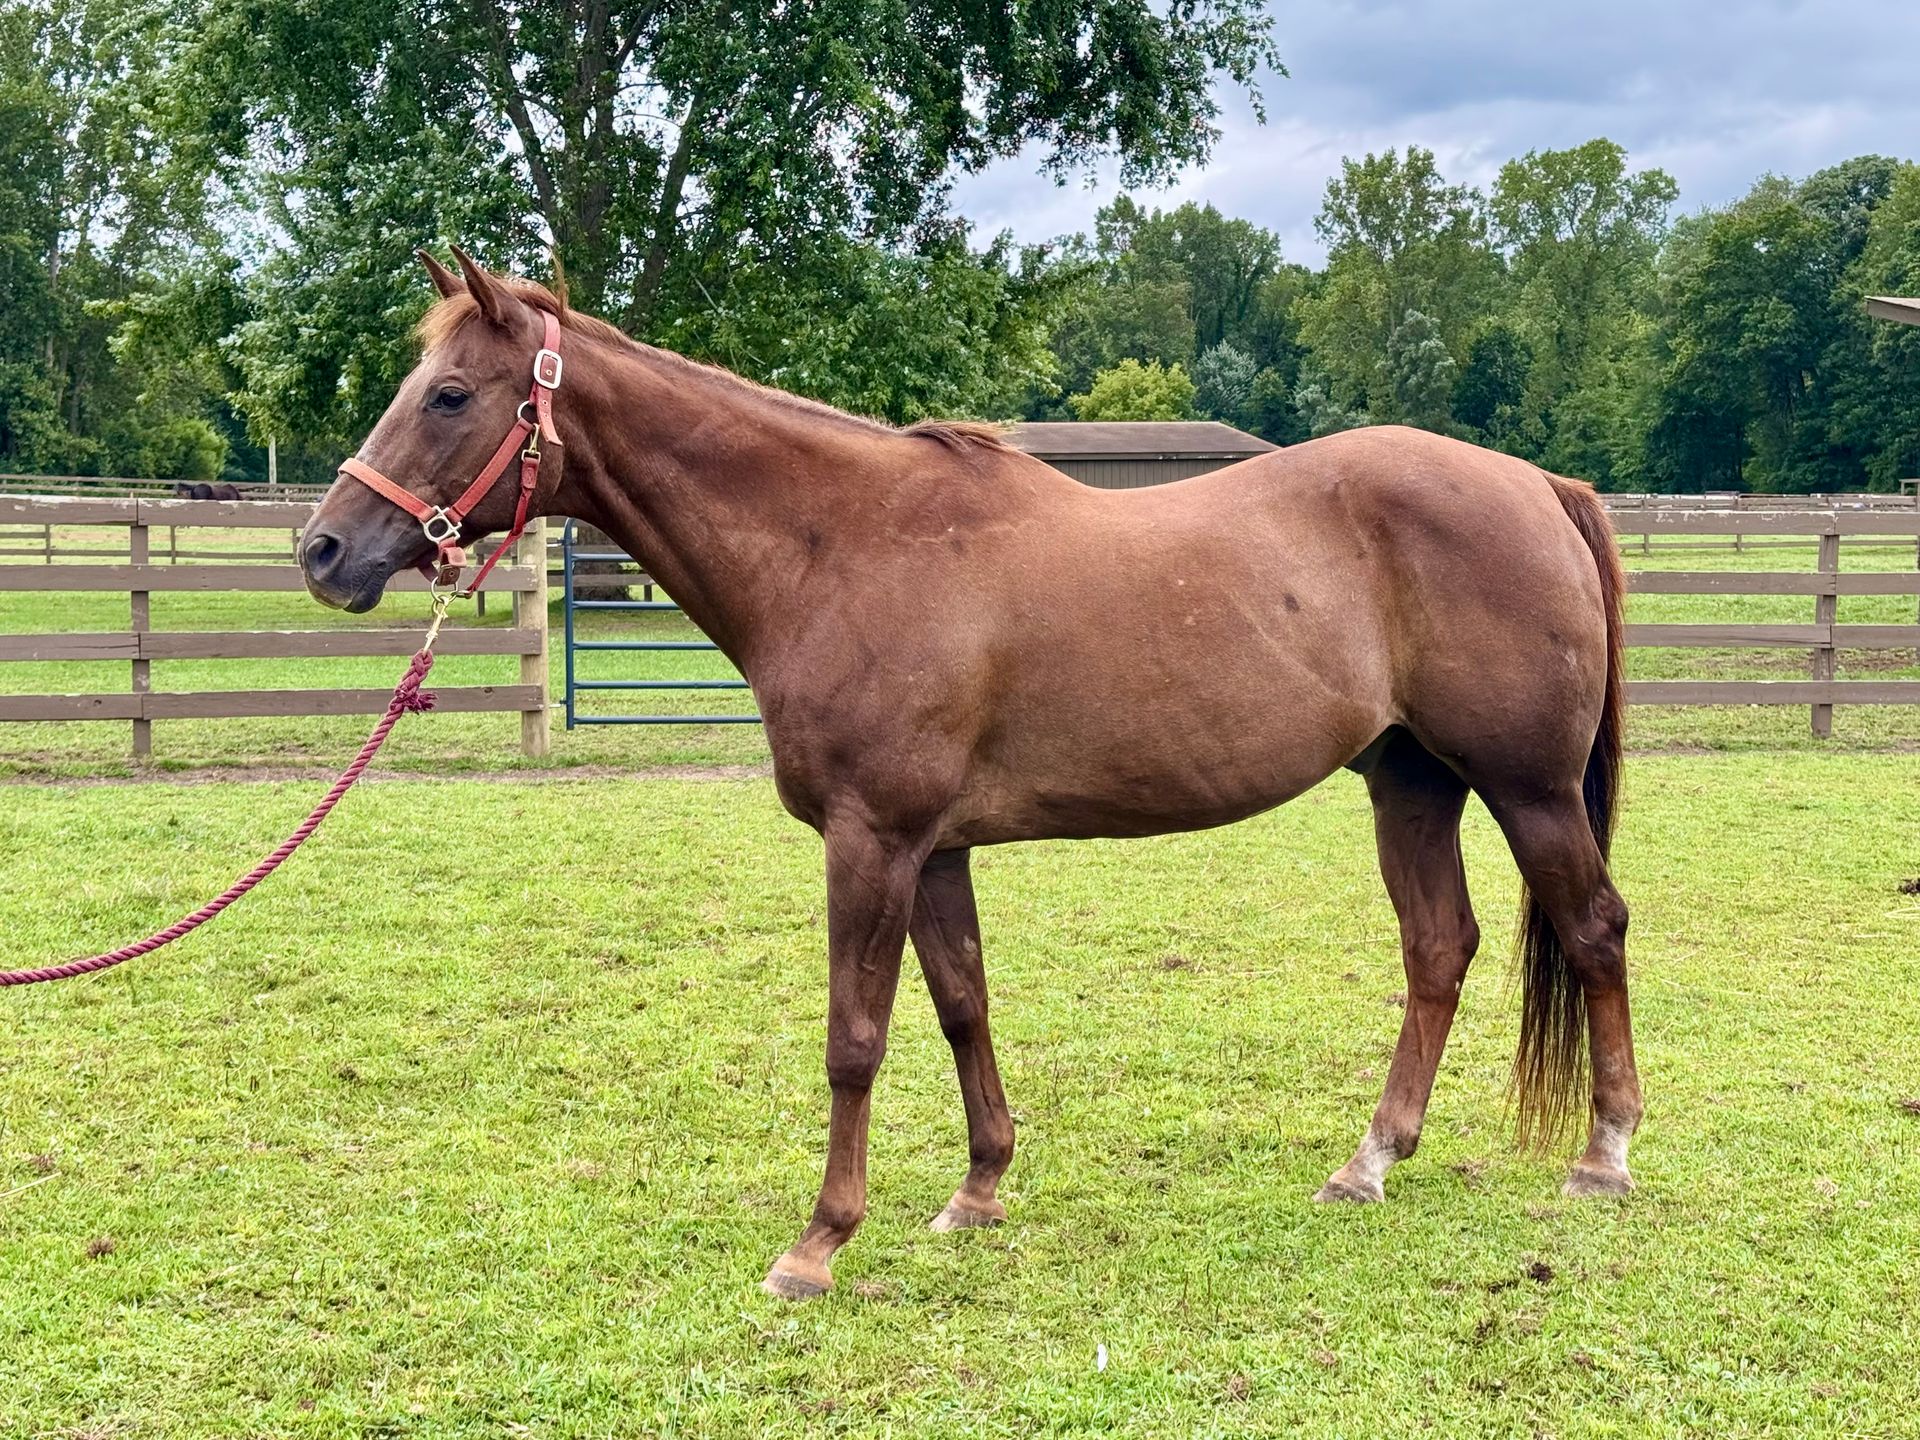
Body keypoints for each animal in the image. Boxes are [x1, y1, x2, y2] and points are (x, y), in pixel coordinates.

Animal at [300, 249, 1643, 1301]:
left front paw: (818, 1244)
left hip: (1525, 790)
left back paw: (1603, 1156)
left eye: (451, 394)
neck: (838, 545)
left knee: (1593, 930)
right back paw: (1369, 1162)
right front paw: (979, 1191)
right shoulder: (935, 848)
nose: (324, 549)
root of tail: (1540, 485)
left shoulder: (873, 840)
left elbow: (855, 1037)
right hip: (1410, 782)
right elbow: (962, 1005)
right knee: (1439, 948)